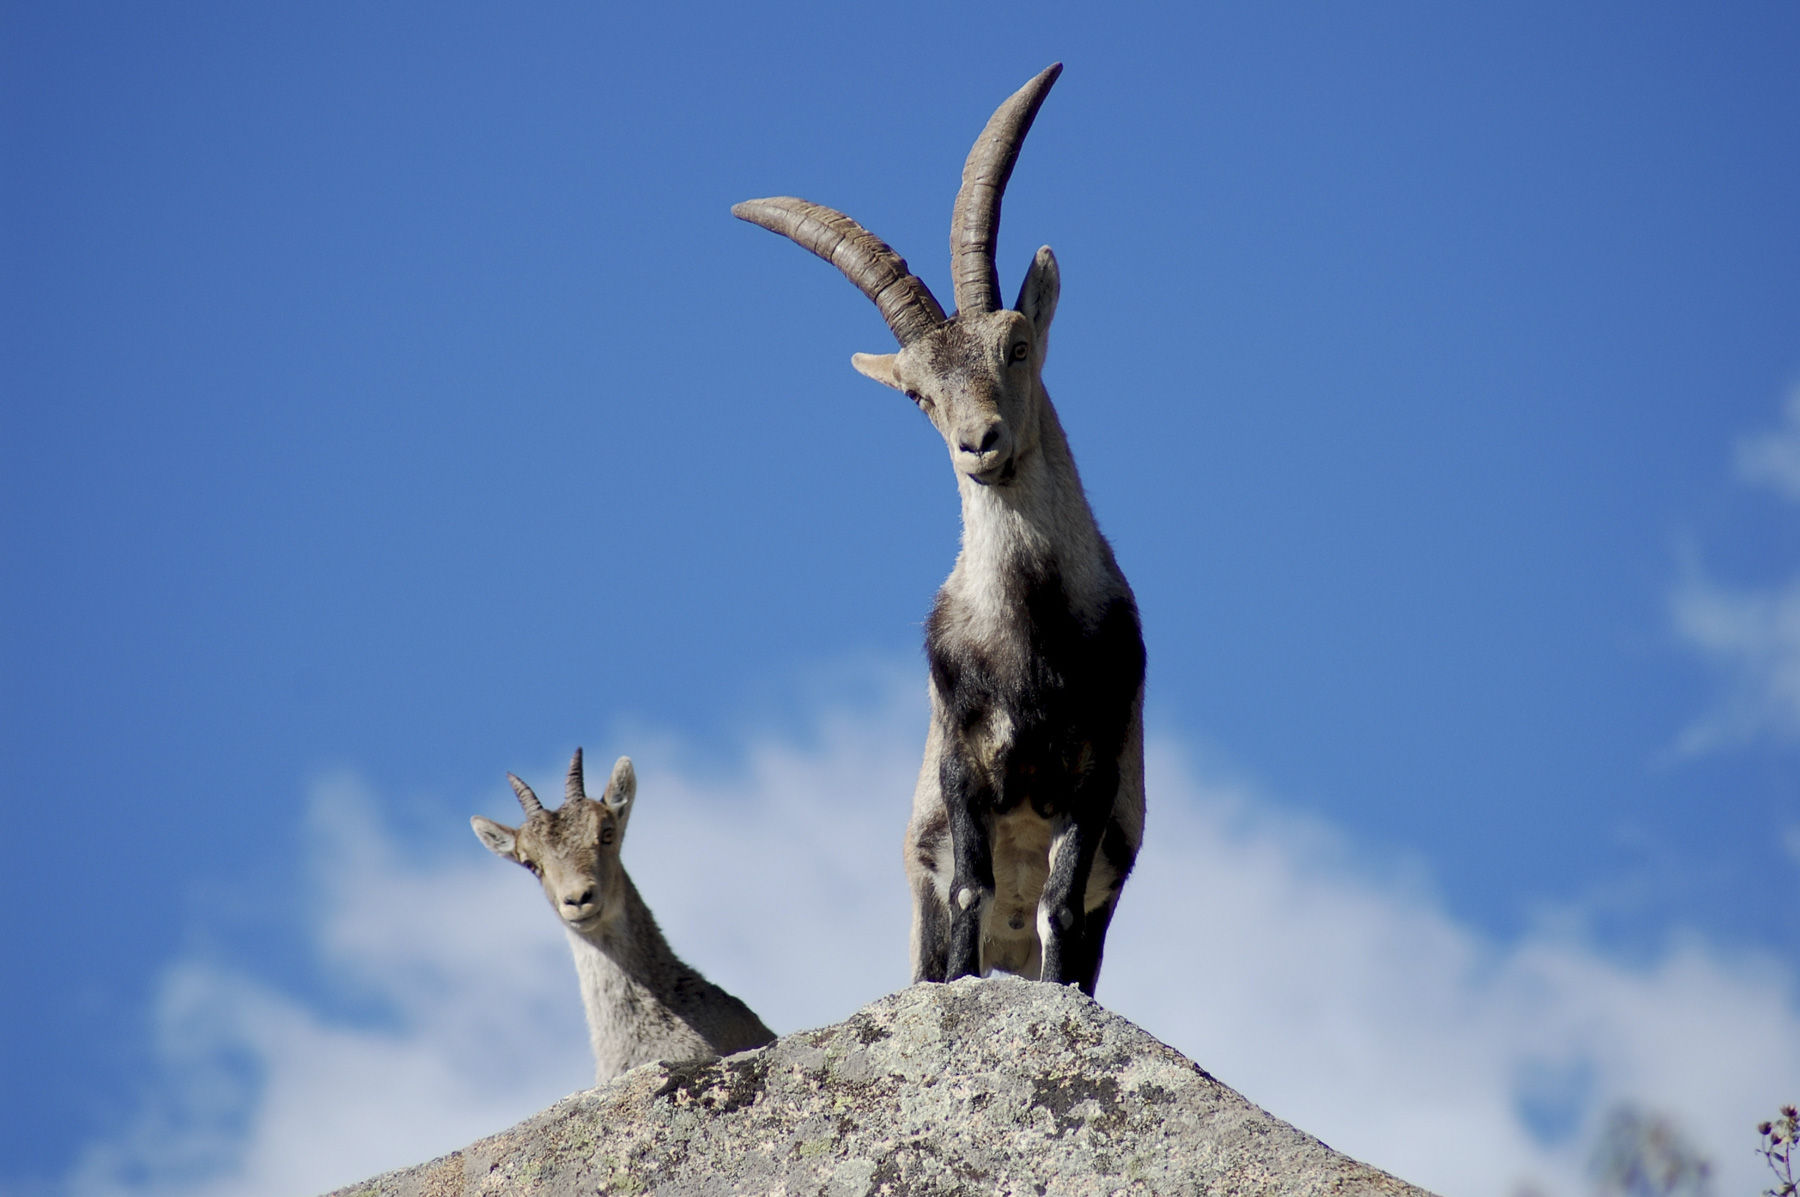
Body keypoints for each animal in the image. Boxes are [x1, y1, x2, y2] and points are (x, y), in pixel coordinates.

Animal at [734, 63, 1144, 997]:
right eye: (919, 394)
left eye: (1017, 345)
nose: (979, 444)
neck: (1028, 631)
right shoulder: (961, 765)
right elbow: (967, 888)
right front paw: (960, 987)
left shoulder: (1095, 766)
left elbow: (1061, 904)